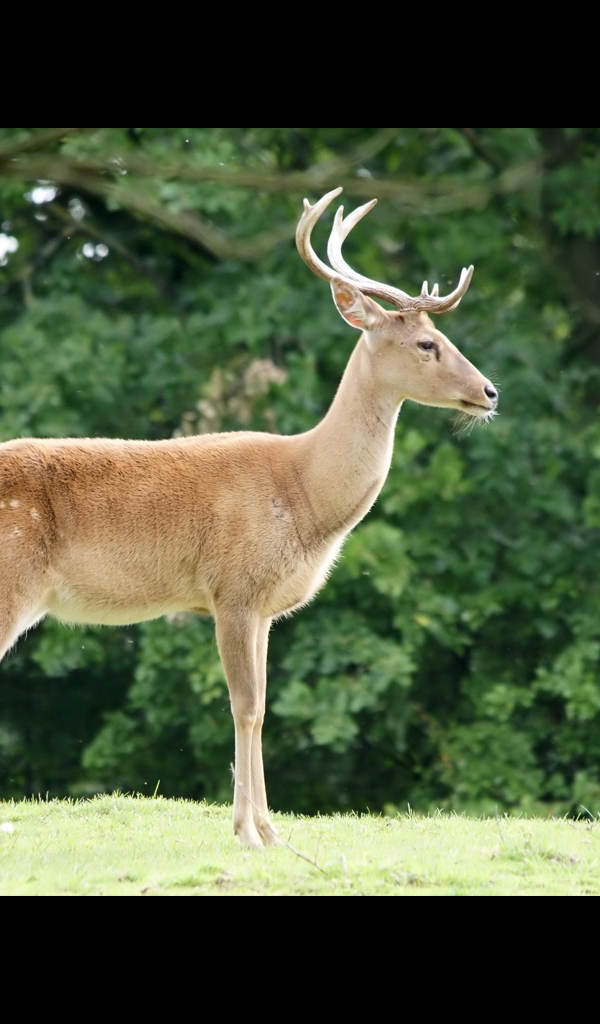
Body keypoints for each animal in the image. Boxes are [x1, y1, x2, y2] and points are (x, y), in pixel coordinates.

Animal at [0, 187, 497, 847]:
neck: (305, 493)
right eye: (426, 344)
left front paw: (272, 829)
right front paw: (248, 832)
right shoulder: (232, 588)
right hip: (11, 577)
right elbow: (245, 705)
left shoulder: (264, 608)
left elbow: (263, 707)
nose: (490, 392)